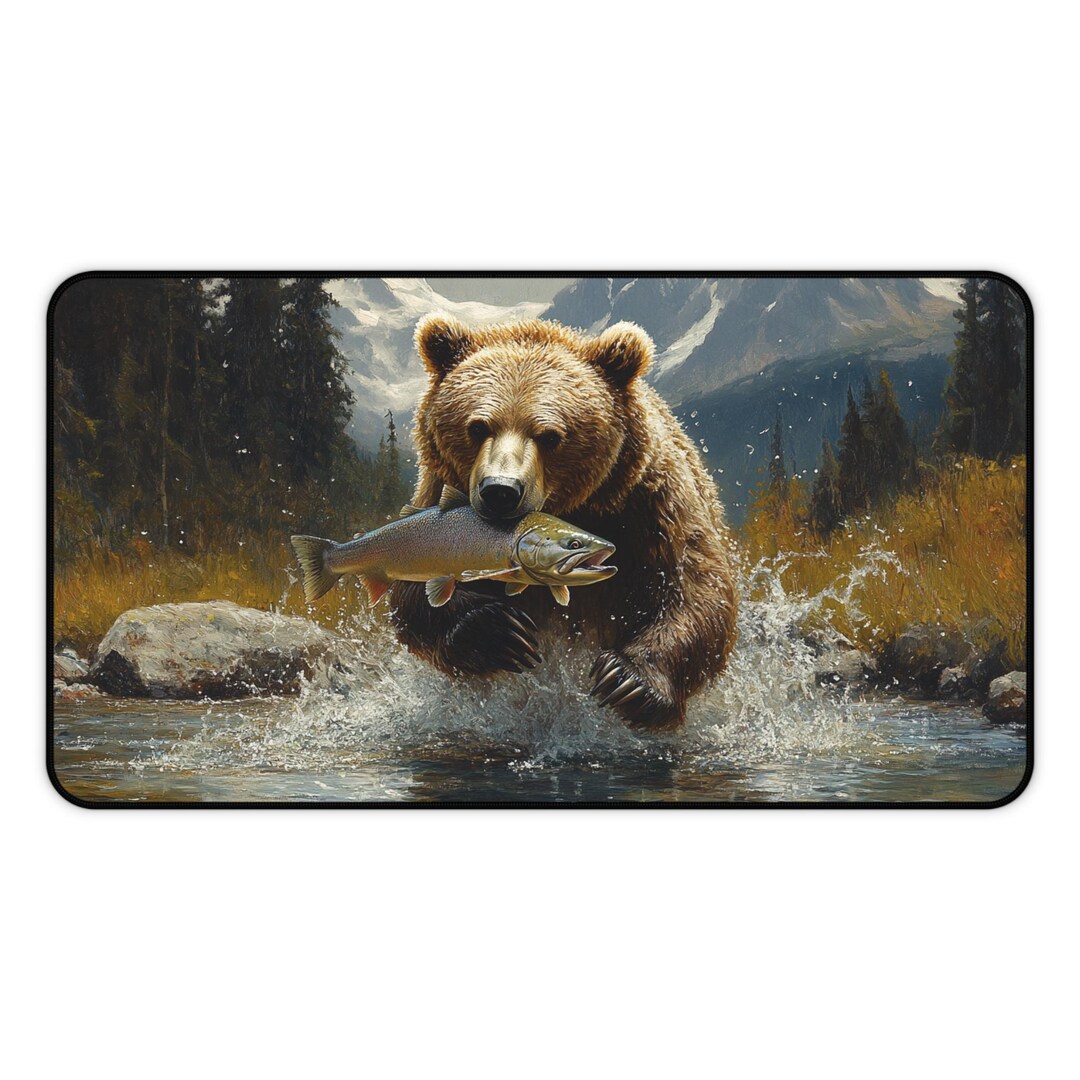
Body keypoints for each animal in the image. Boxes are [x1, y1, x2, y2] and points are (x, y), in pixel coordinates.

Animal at [387, 315, 738, 730]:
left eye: (550, 435)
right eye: (477, 427)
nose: (500, 491)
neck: (569, 509)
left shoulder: (645, 509)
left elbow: (696, 587)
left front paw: (626, 681)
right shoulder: (441, 501)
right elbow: (412, 593)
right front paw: (502, 633)